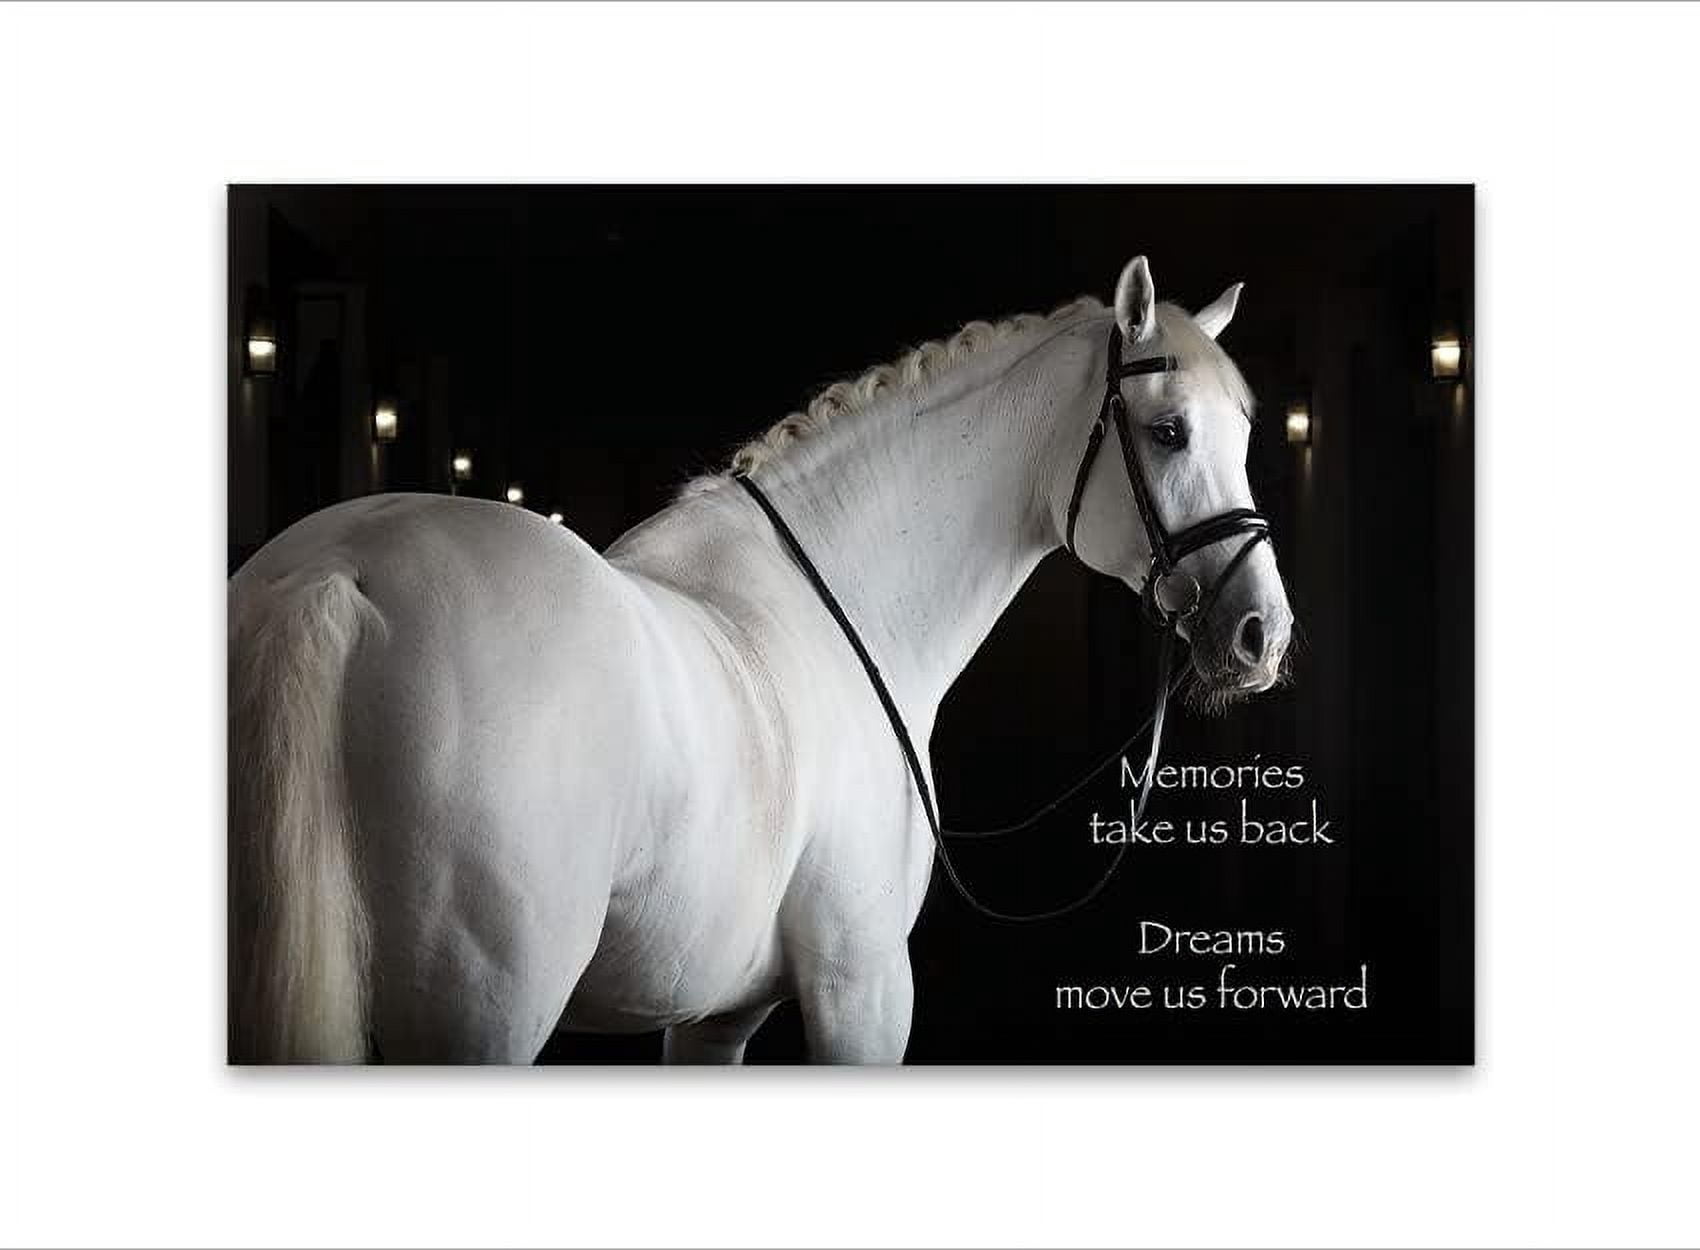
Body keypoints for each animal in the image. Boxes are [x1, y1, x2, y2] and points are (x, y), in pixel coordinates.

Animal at [227, 255, 1294, 1064]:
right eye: (1168, 431)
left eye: (1244, 432)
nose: (1262, 634)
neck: (843, 599)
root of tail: (333, 576)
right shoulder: (864, 987)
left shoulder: (715, 1017)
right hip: (484, 1014)